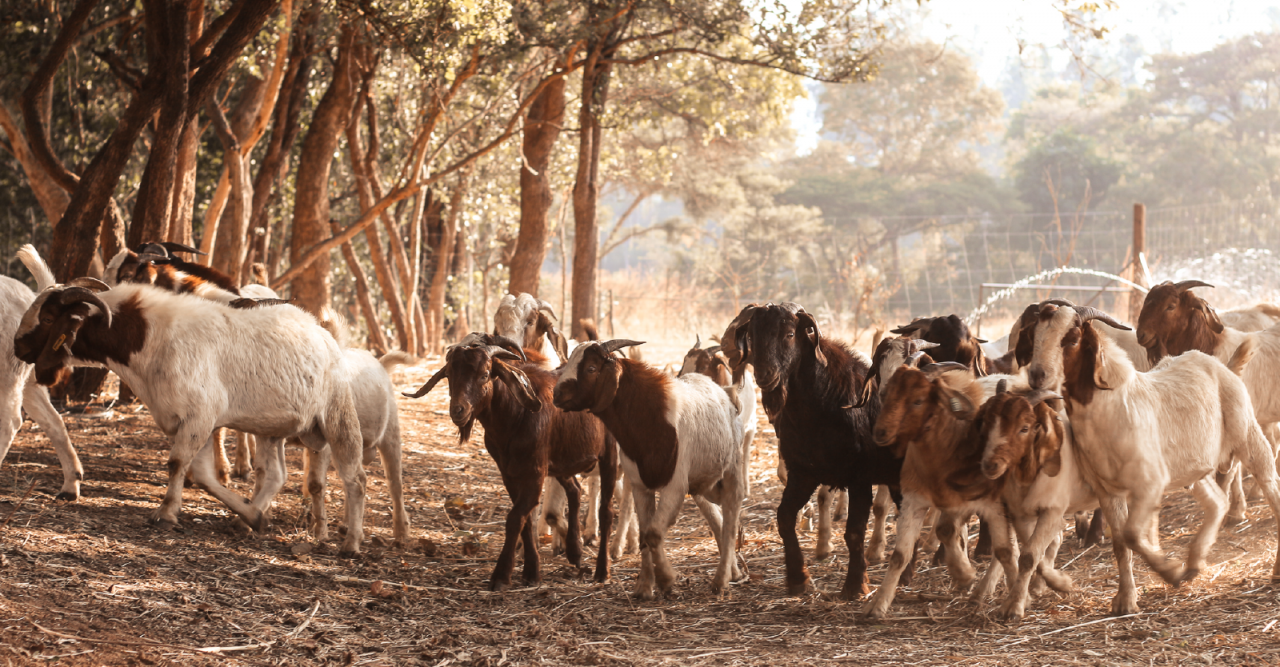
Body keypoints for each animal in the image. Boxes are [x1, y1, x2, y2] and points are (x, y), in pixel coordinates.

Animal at [14, 249, 371, 554]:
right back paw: (248, 519)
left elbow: (176, 464)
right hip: (270, 429)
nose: (18, 346)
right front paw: (251, 516)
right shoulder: (192, 421)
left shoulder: (199, 416)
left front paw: (164, 513)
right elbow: (200, 474)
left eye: (49, 319)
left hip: (337, 417)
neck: (151, 336)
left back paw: (351, 543)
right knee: (275, 476)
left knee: (356, 479)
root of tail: (325, 334)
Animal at [407, 334, 616, 590]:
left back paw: (602, 571)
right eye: (449, 374)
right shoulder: (508, 472)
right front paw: (531, 572)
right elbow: (525, 520)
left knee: (606, 510)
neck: (514, 417)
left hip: (609, 455)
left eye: (485, 374)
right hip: (561, 462)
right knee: (575, 491)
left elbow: (516, 517)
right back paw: (575, 552)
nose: (458, 410)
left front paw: (501, 575)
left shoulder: (535, 472)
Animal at [553, 339, 745, 599]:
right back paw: (733, 571)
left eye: (591, 368)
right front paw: (644, 587)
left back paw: (721, 580)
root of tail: (726, 393)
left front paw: (667, 579)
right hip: (703, 483)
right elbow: (646, 534)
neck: (652, 420)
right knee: (718, 519)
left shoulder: (675, 485)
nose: (556, 394)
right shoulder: (640, 485)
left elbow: (654, 534)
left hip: (731, 472)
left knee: (731, 518)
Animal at [722, 302, 916, 600]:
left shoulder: (859, 478)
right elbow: (784, 518)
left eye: (790, 334)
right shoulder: (803, 474)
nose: (765, 376)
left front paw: (855, 585)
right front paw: (798, 579)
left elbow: (854, 532)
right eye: (752, 335)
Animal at [1055, 310, 1280, 614]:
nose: (1037, 375)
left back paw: (1274, 568)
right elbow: (1122, 542)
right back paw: (1194, 562)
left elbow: (1133, 534)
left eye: (1072, 339)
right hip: (1193, 467)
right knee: (1217, 501)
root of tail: (1222, 365)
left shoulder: (1150, 482)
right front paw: (1127, 599)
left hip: (1247, 433)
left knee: (1269, 483)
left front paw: (1169, 571)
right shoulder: (1108, 491)